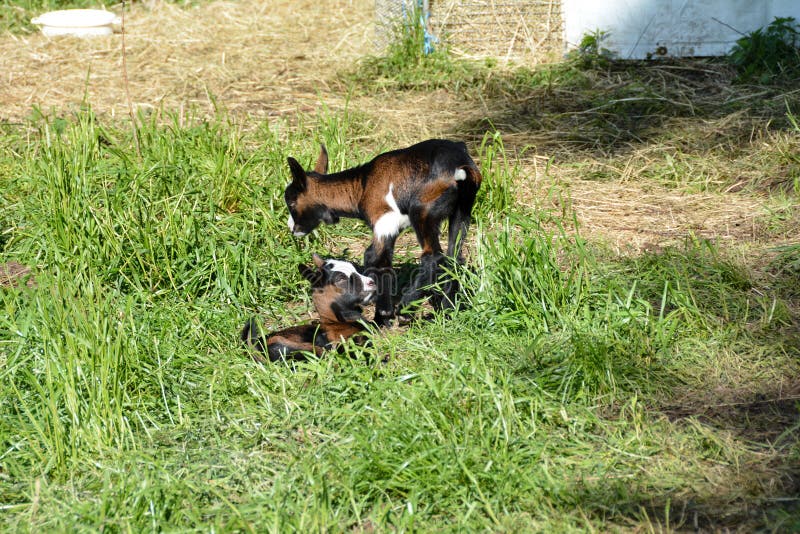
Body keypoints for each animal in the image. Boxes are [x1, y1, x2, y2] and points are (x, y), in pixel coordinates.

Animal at [283, 139, 482, 325]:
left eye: (291, 202)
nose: (291, 228)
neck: (362, 185)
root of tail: (459, 166)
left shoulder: (384, 219)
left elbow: (375, 258)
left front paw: (383, 313)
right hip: (463, 209)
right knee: (454, 256)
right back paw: (448, 309)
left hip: (422, 210)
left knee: (433, 257)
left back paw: (406, 309)